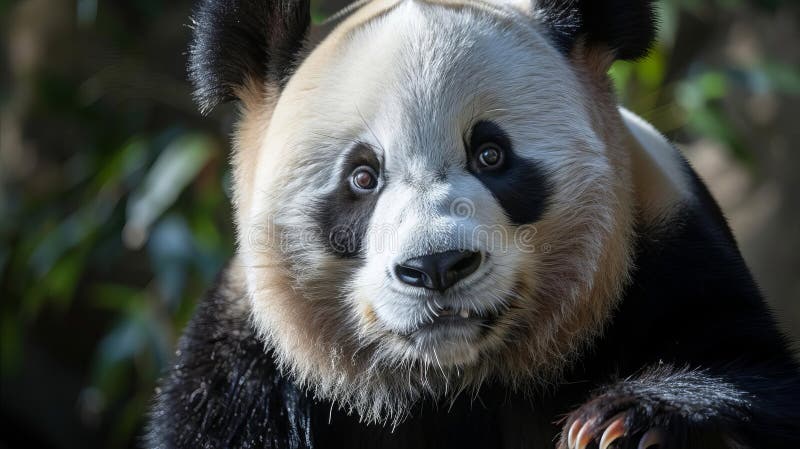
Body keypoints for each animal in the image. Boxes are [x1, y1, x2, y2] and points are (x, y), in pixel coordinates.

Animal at [147, 0, 800, 448]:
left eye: (490, 155)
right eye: (362, 177)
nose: (436, 267)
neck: (455, 378)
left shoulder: (668, 246)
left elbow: (755, 376)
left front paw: (627, 420)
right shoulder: (243, 364)